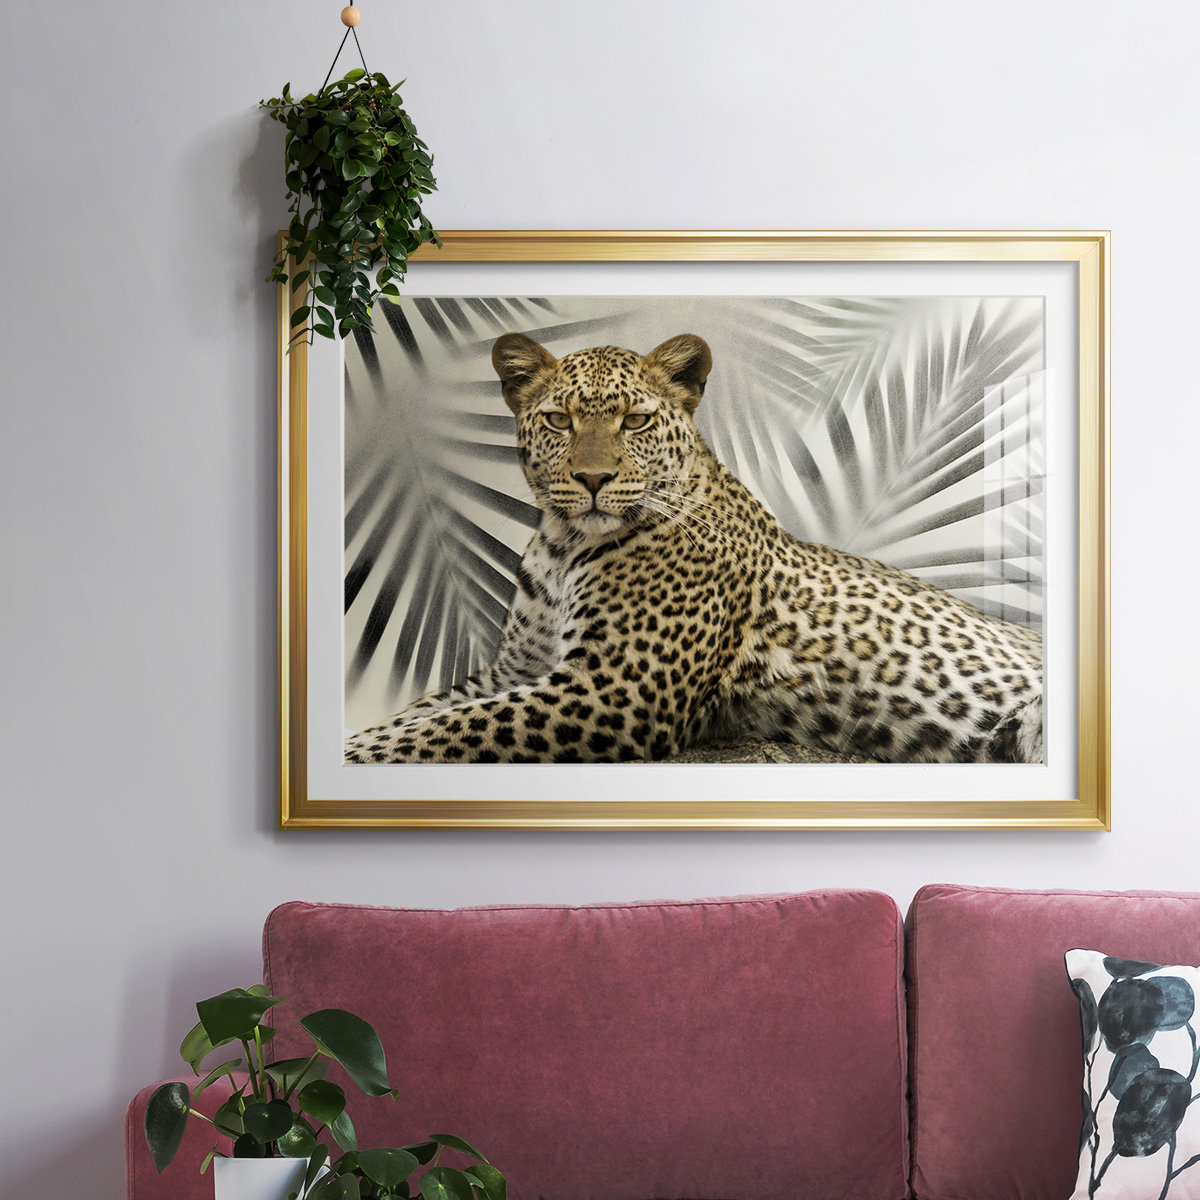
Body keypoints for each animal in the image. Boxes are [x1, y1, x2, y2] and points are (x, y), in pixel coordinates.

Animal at [344, 332, 1043, 765]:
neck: (564, 546)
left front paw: (358, 753)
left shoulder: (614, 689)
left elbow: (447, 730)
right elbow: (421, 714)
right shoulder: (514, 671)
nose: (592, 479)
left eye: (635, 421)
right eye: (559, 421)